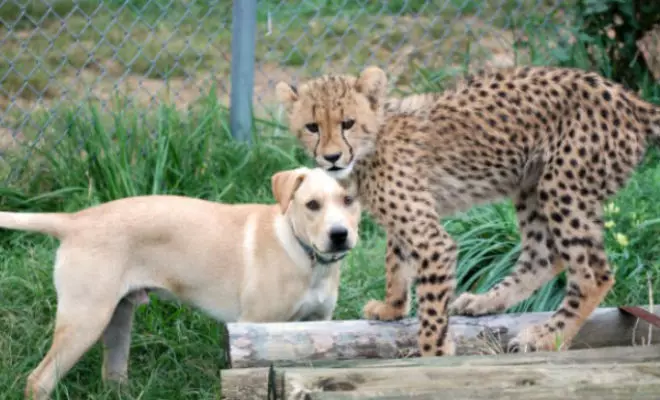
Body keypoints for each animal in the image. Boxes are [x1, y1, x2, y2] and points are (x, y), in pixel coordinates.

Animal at [0, 166, 360, 400]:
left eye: (349, 201)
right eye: (312, 205)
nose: (339, 235)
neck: (304, 254)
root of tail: (74, 221)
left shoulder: (318, 328)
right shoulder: (254, 328)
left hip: (116, 319)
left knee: (111, 376)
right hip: (84, 319)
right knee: (39, 380)